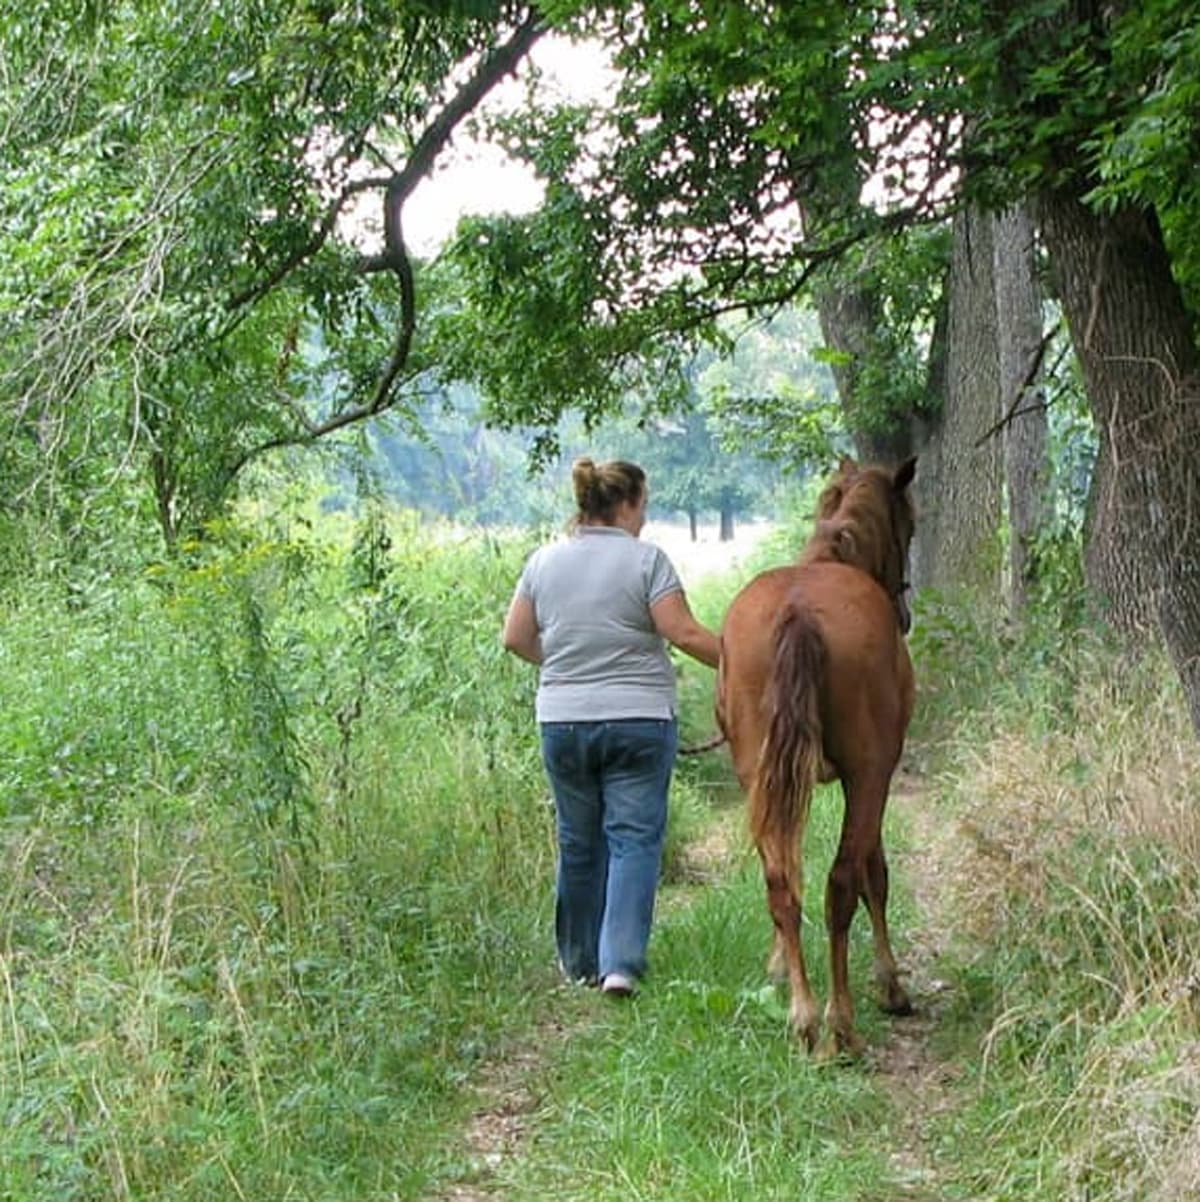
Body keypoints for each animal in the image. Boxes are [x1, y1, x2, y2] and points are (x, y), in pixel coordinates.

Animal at [716, 456, 917, 1056]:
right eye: (909, 527)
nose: (903, 612)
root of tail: (798, 611)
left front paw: (779, 967)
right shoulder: (876, 775)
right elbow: (875, 873)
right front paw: (890, 984)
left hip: (757, 775)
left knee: (782, 884)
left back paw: (803, 1016)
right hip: (866, 774)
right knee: (840, 884)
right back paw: (840, 1023)